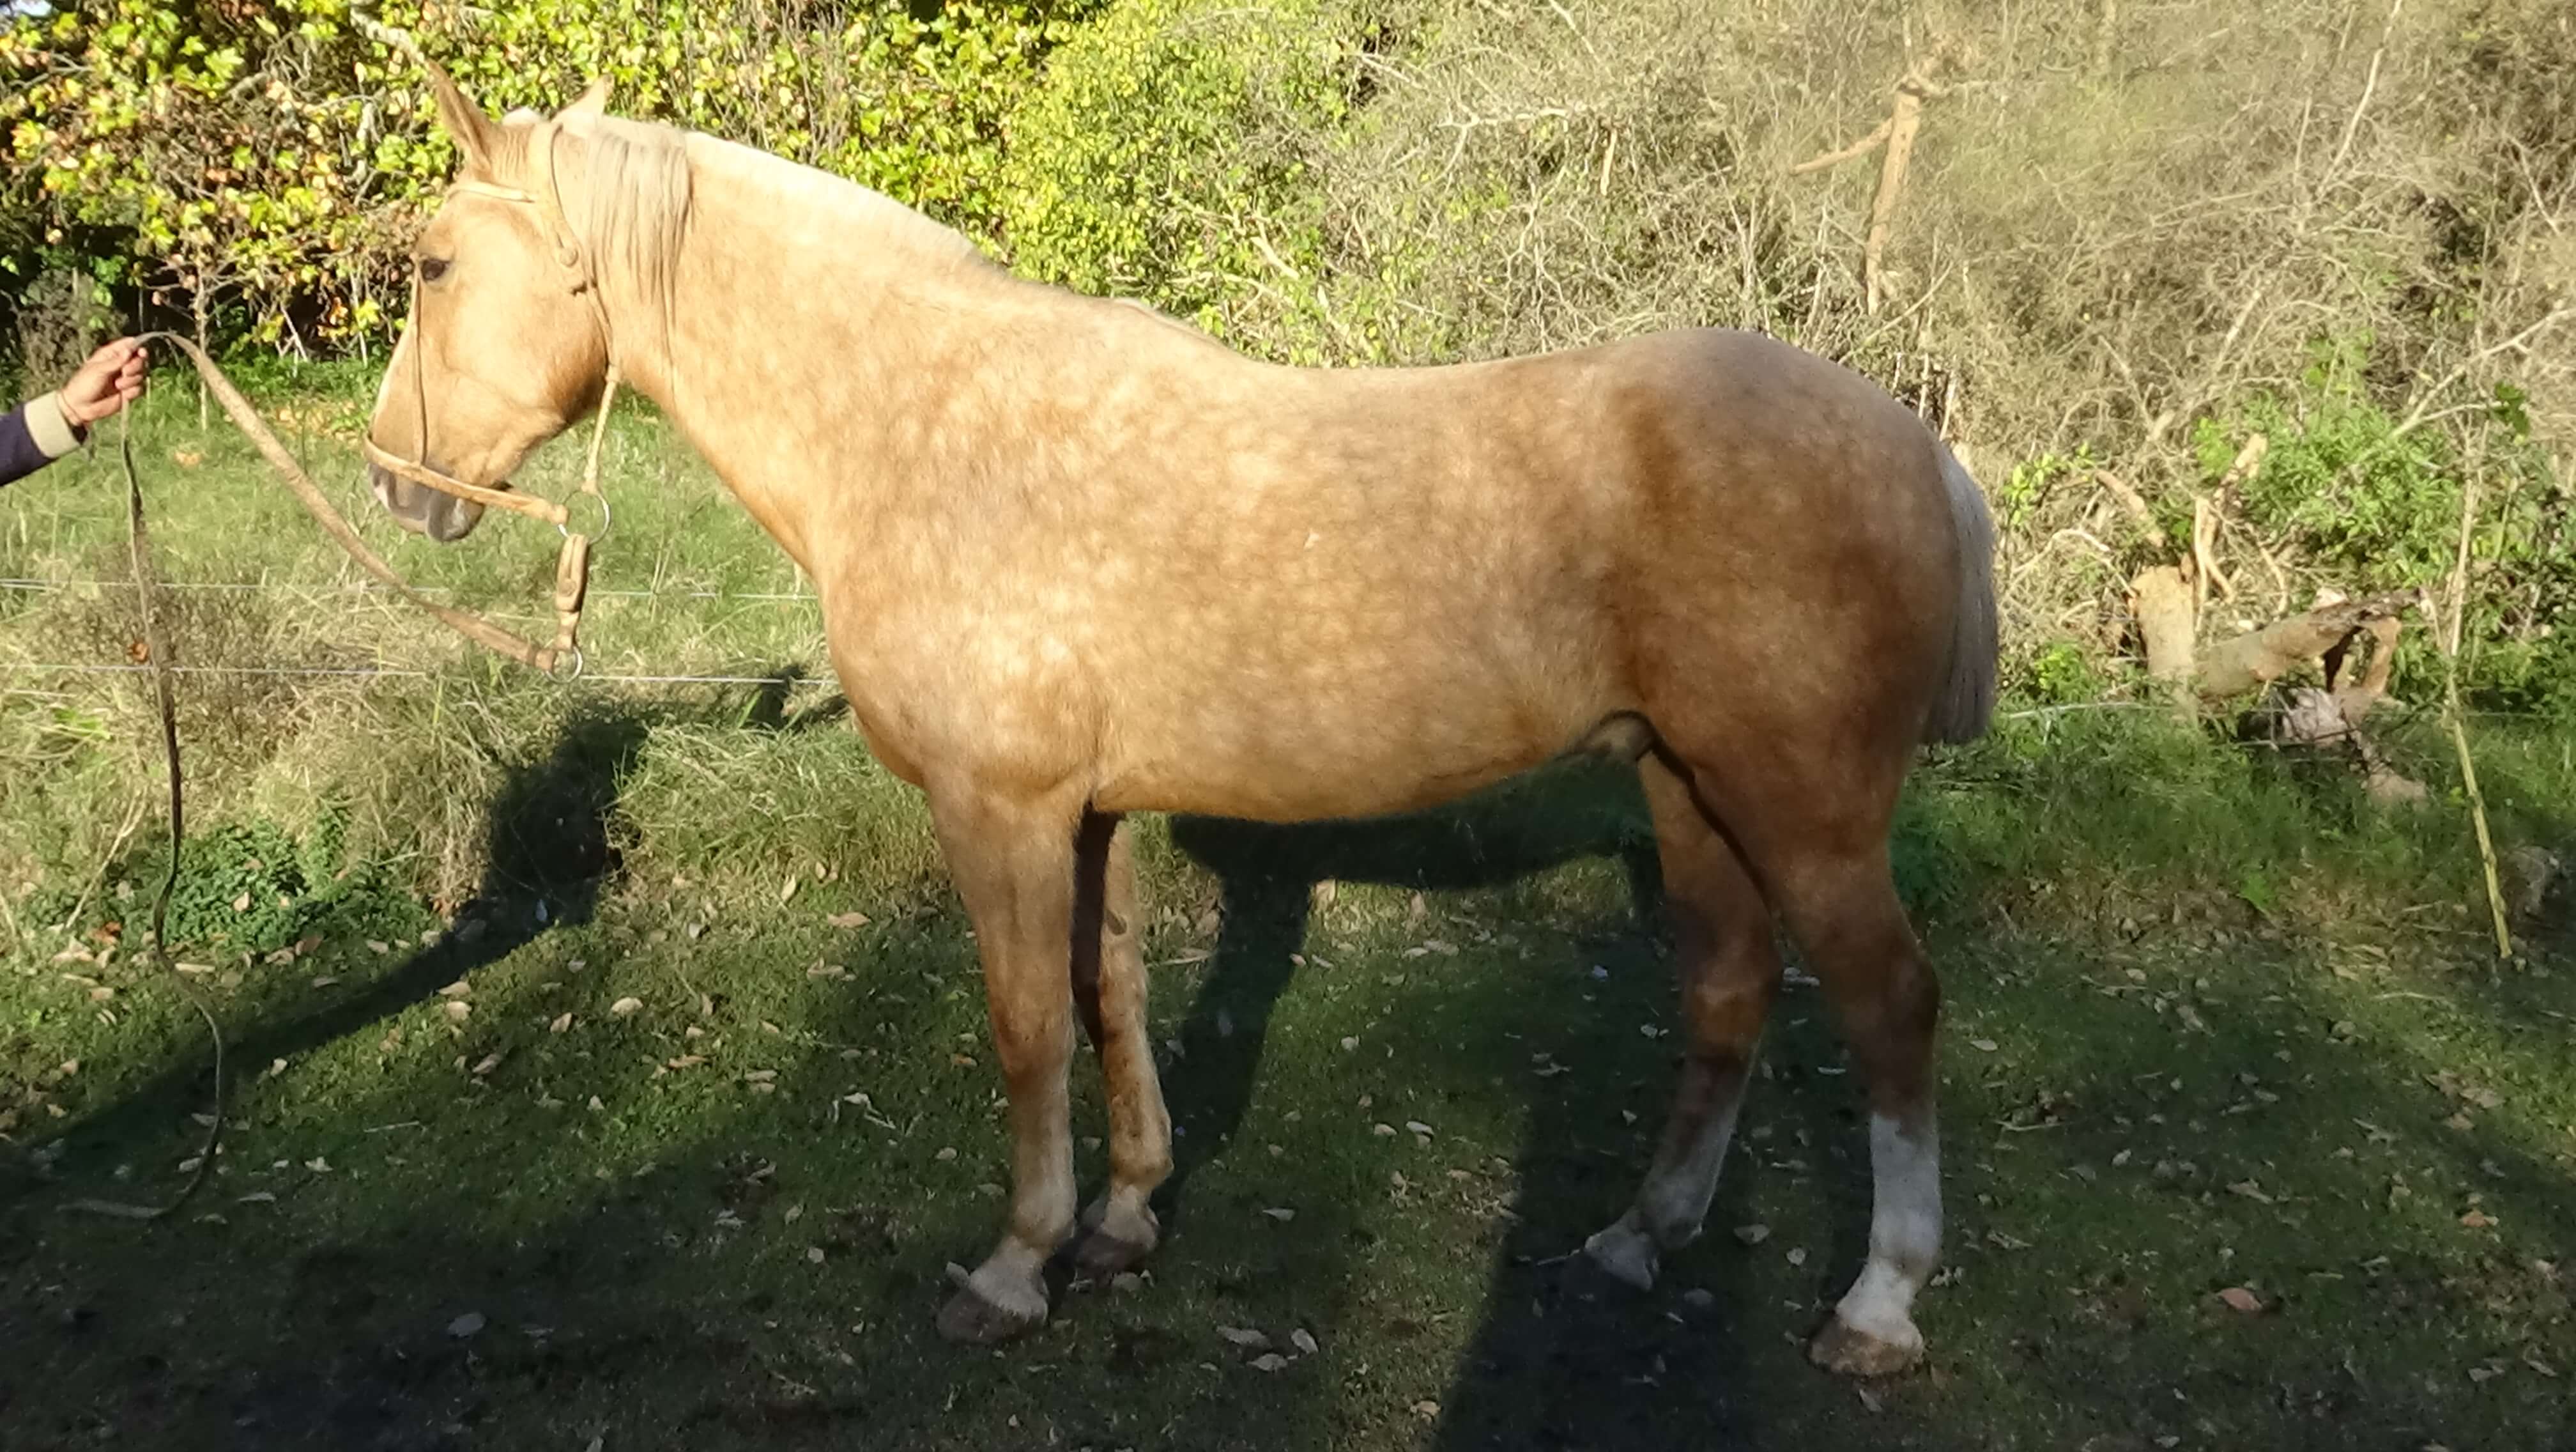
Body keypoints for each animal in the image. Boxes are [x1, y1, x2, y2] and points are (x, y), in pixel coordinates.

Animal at [362, 67, 1997, 1377]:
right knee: (1727, 997)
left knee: (1892, 1007)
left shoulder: (1002, 806)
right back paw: (1636, 1240)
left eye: (435, 263)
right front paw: (1125, 1218)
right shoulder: (1089, 809)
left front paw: (1015, 1265)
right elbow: (1112, 994)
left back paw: (1878, 1305)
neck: (927, 428)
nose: (391, 481)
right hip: (1688, 788)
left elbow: (1028, 1022)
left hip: (1802, 812)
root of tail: (1919, 446)